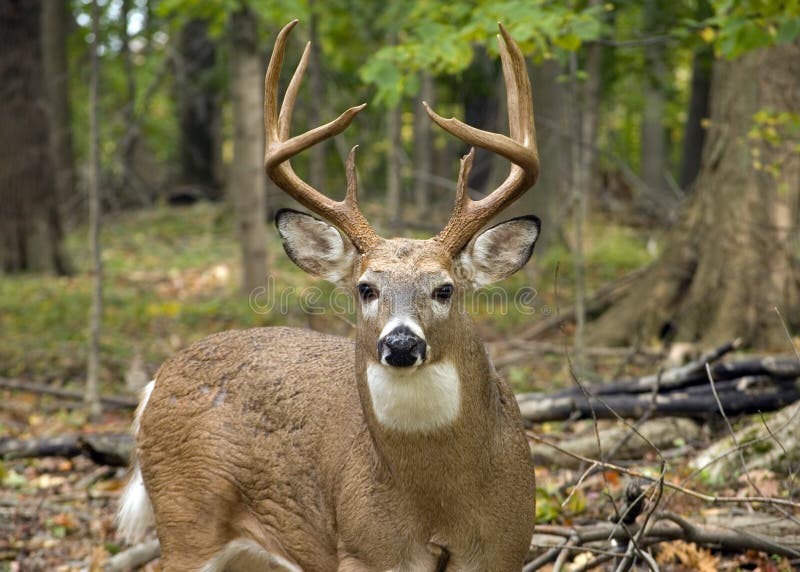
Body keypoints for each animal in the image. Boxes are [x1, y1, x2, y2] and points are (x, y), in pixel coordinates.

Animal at [118, 20, 541, 571]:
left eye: (444, 288)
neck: (442, 501)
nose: (401, 344)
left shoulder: (506, 545)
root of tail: (153, 386)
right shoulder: (365, 546)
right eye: (366, 288)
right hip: (185, 518)